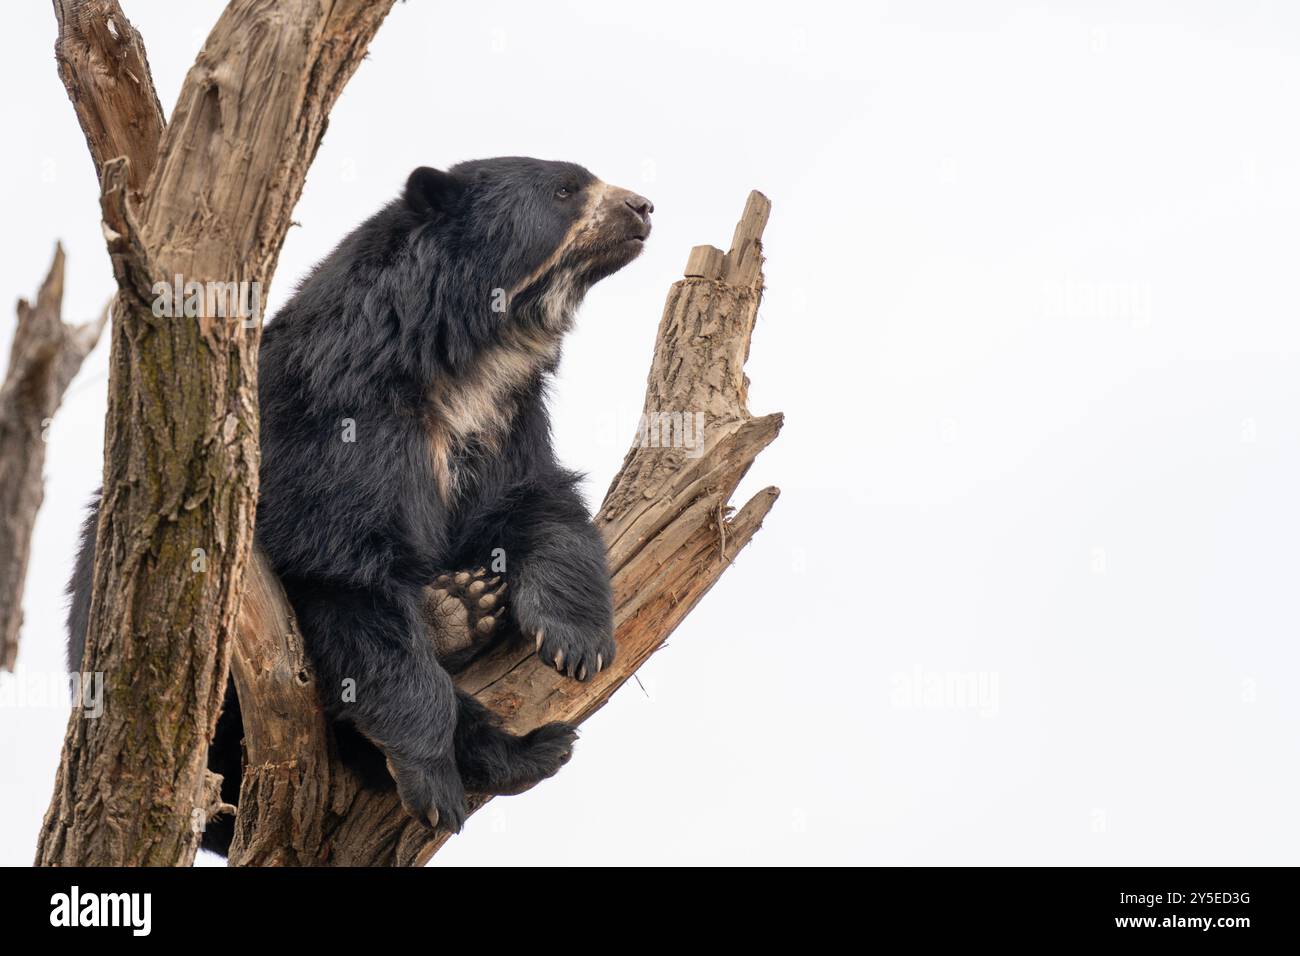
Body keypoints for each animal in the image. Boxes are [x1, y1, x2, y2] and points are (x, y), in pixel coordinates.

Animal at [66, 157, 654, 854]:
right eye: (565, 189)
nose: (643, 207)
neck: (467, 362)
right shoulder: (330, 431)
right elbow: (346, 572)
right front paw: (432, 784)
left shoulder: (506, 426)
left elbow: (536, 504)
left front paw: (576, 643)